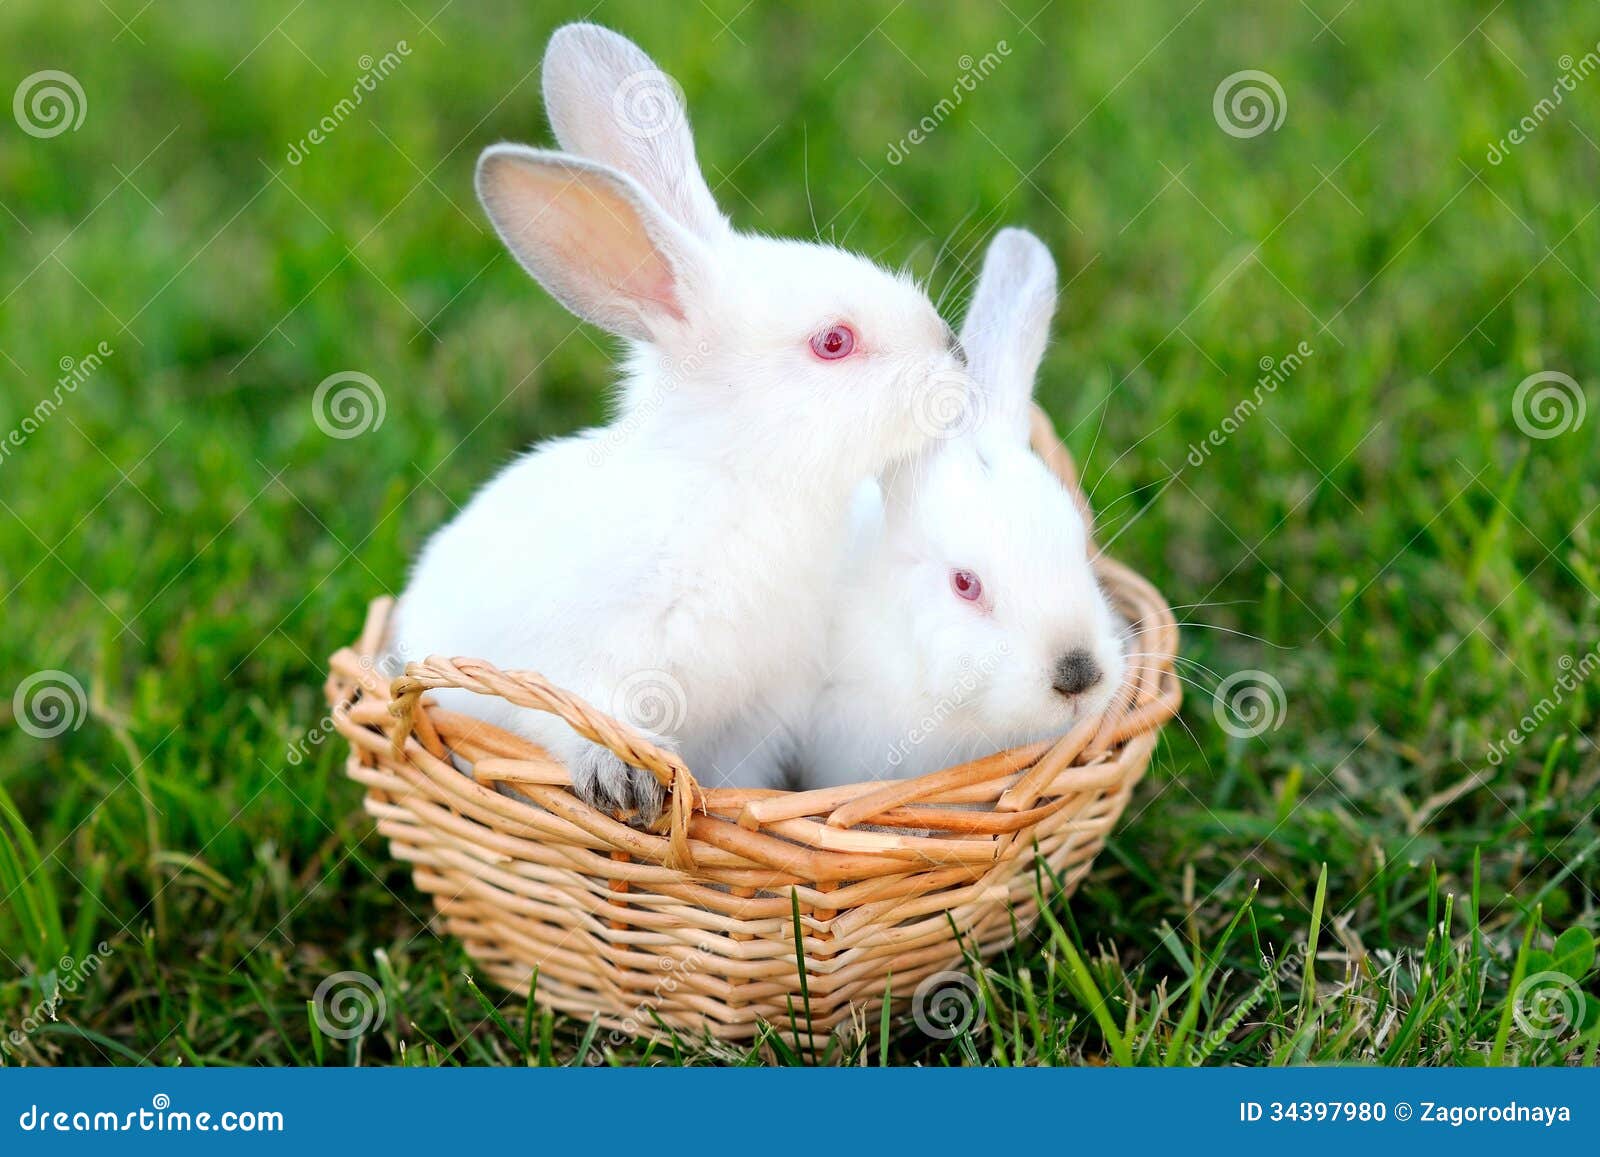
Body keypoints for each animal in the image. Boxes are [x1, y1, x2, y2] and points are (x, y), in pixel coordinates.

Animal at [389, 23, 967, 823]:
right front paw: (622, 783)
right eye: (833, 342)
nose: (957, 356)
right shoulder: (587, 669)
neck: (737, 484)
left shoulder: (760, 713)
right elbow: (577, 724)